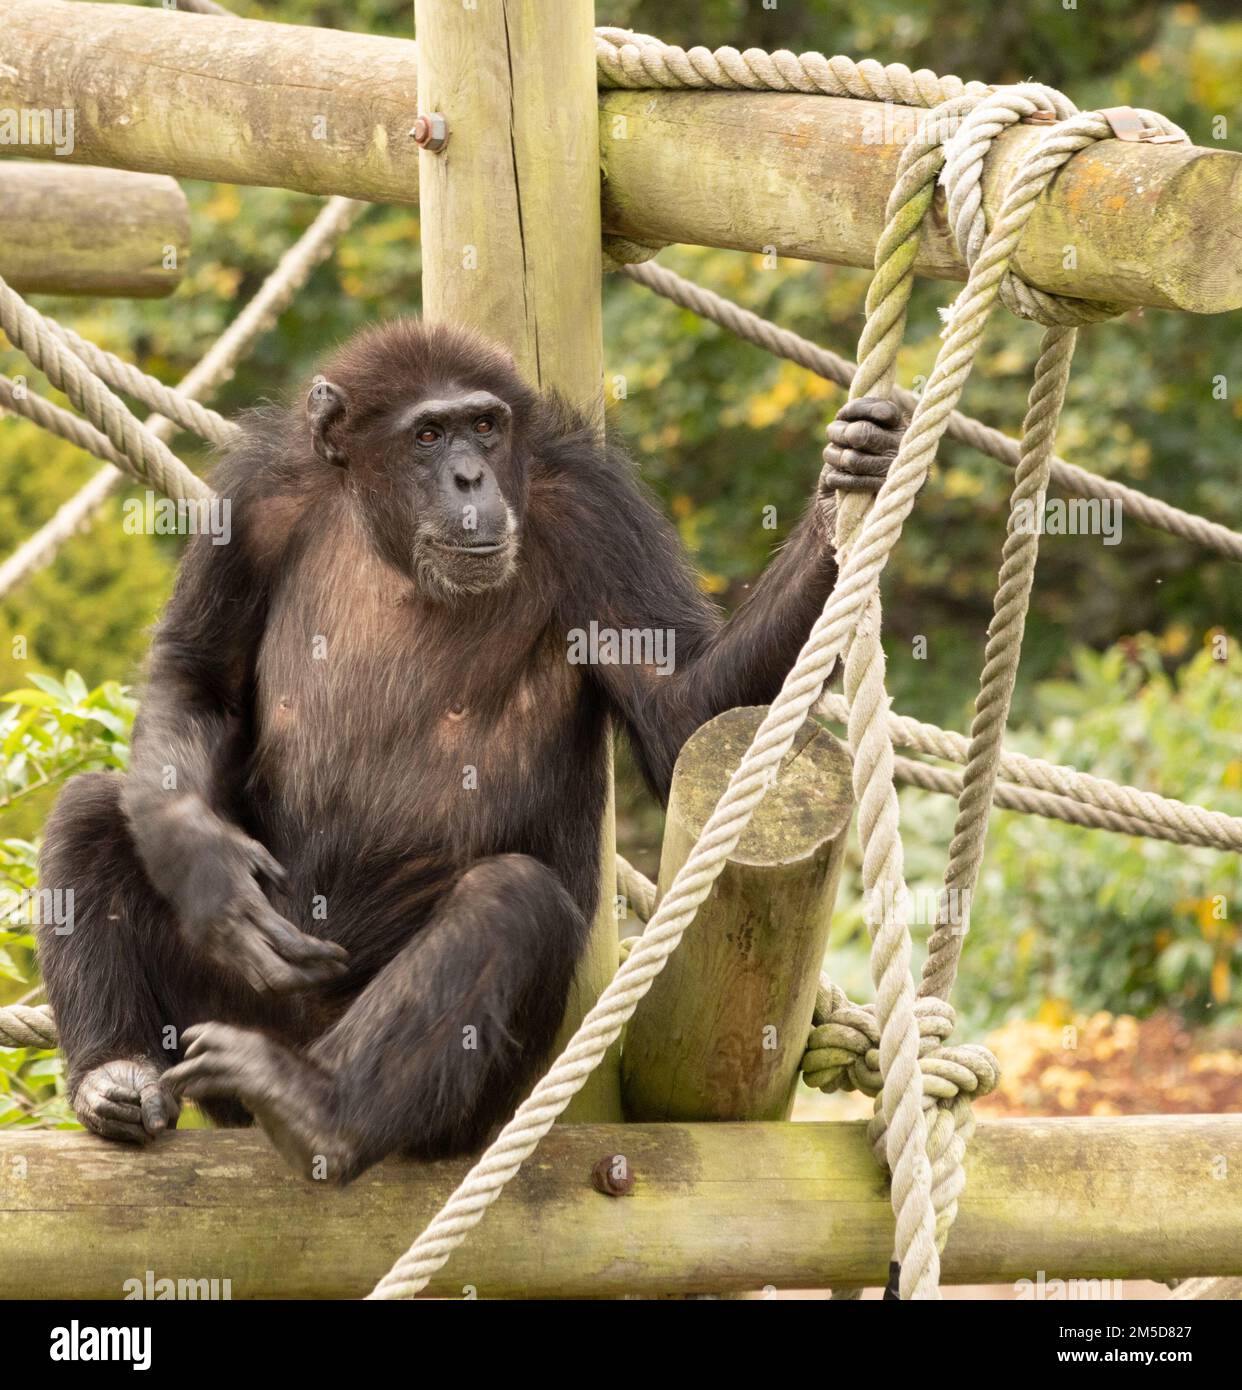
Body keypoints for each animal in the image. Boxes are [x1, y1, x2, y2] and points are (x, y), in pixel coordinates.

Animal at [35, 319, 907, 1182]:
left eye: (484, 425)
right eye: (427, 434)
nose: (468, 476)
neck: (385, 538)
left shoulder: (594, 511)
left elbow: (683, 704)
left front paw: (852, 475)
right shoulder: (250, 506)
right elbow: (198, 673)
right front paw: (210, 869)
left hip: (464, 1110)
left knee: (512, 900)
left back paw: (315, 1108)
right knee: (92, 811)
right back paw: (117, 1075)